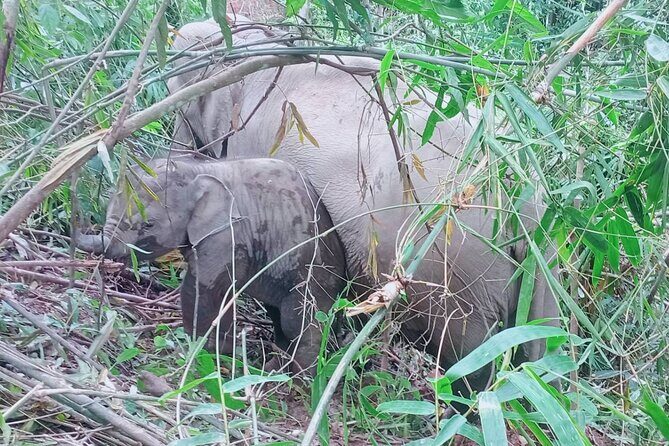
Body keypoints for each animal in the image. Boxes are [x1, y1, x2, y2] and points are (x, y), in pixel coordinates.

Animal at [76, 156, 347, 373]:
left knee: (298, 323)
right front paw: (222, 353)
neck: (197, 170)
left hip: (314, 276)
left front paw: (199, 353)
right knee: (279, 317)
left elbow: (202, 288)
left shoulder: (227, 236)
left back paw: (296, 376)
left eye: (149, 224)